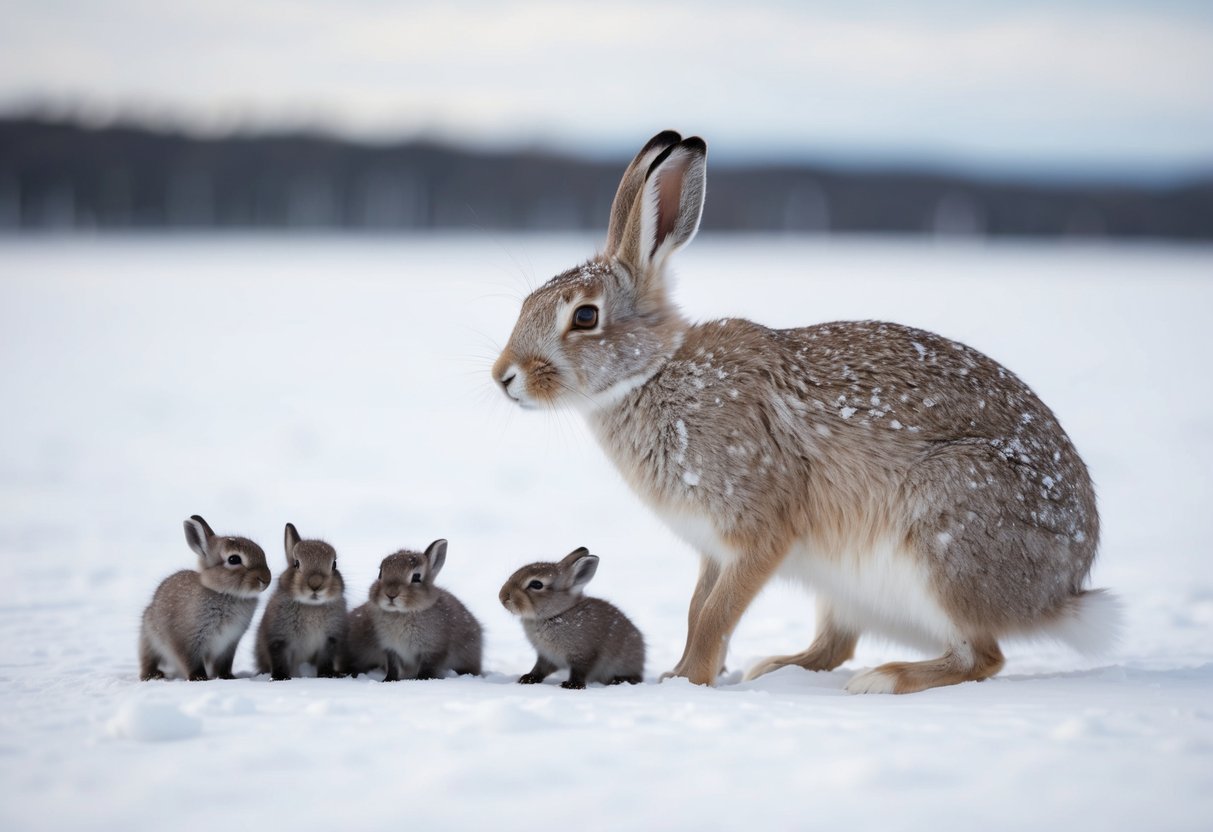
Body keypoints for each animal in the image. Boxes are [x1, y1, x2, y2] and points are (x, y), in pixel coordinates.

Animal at [139, 515, 271, 681]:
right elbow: (190, 660)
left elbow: (224, 664)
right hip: (150, 637)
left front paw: (227, 677)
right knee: (148, 658)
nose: (266, 580)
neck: (223, 592)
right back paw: (153, 675)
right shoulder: (187, 639)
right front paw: (199, 678)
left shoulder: (229, 643)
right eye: (234, 559)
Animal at [255, 523, 348, 680]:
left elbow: (325, 660)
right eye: (296, 563)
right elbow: (279, 660)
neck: (311, 606)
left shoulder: (329, 641)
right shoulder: (279, 639)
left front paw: (327, 675)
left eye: (334, 565)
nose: (315, 584)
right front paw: (280, 678)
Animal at [344, 539, 482, 681]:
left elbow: (428, 667)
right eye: (380, 573)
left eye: (416, 577)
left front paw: (421, 679)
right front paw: (388, 680)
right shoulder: (391, 649)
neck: (402, 612)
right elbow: (393, 667)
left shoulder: (433, 649)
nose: (391, 594)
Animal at [500, 547, 644, 689]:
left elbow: (580, 670)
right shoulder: (547, 656)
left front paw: (572, 685)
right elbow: (540, 668)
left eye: (536, 584)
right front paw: (528, 678)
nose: (502, 596)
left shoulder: (583, 654)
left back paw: (619, 680)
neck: (556, 614)